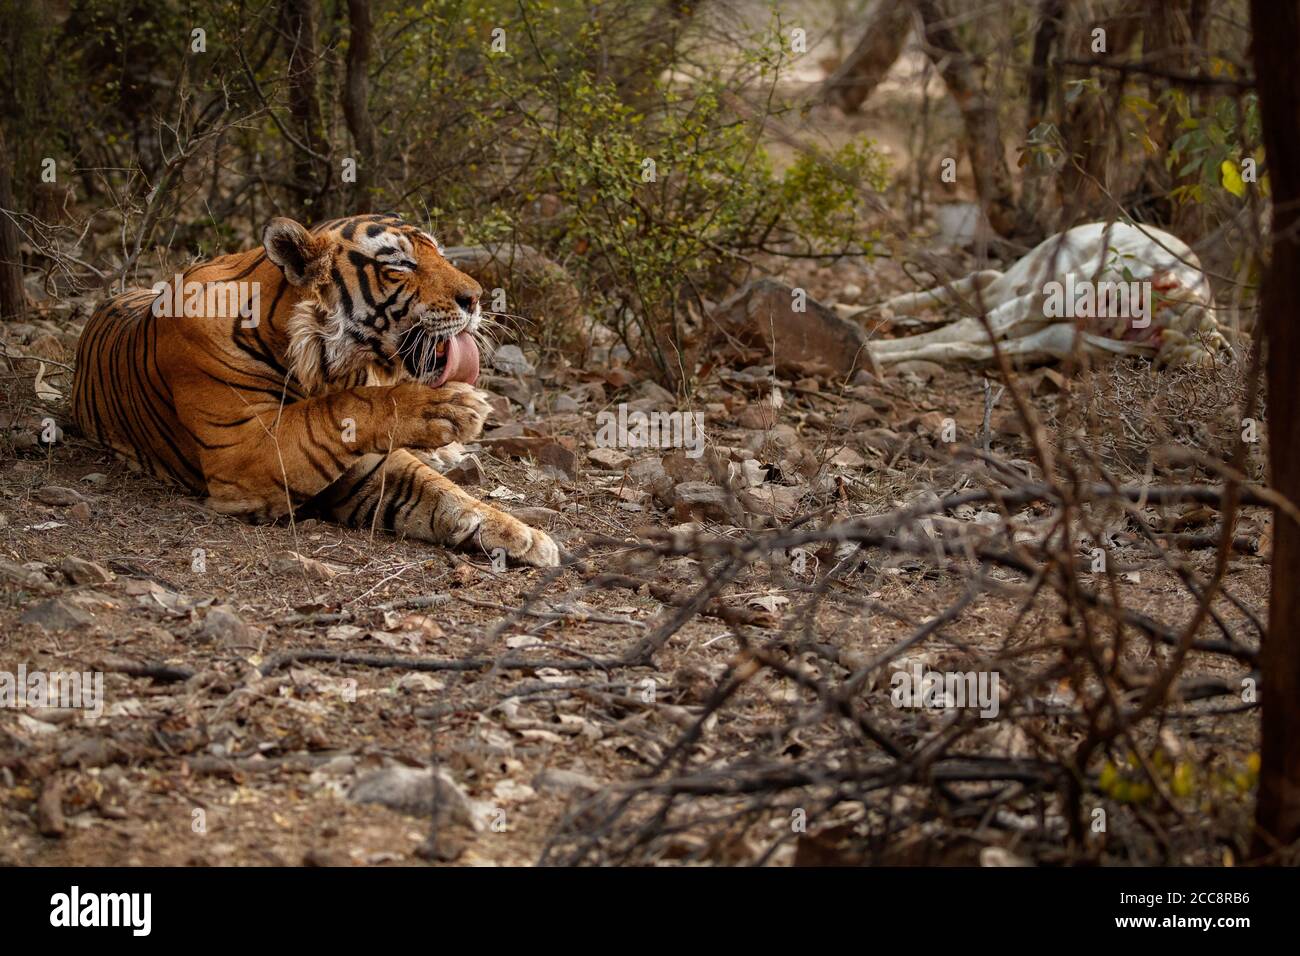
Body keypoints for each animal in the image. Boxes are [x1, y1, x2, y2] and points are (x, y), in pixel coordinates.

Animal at [71, 213, 560, 567]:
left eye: (438, 253)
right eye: (399, 264)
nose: (477, 298)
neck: (326, 365)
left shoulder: (366, 466)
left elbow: (444, 494)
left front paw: (525, 537)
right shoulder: (245, 450)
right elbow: (340, 409)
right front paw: (450, 406)